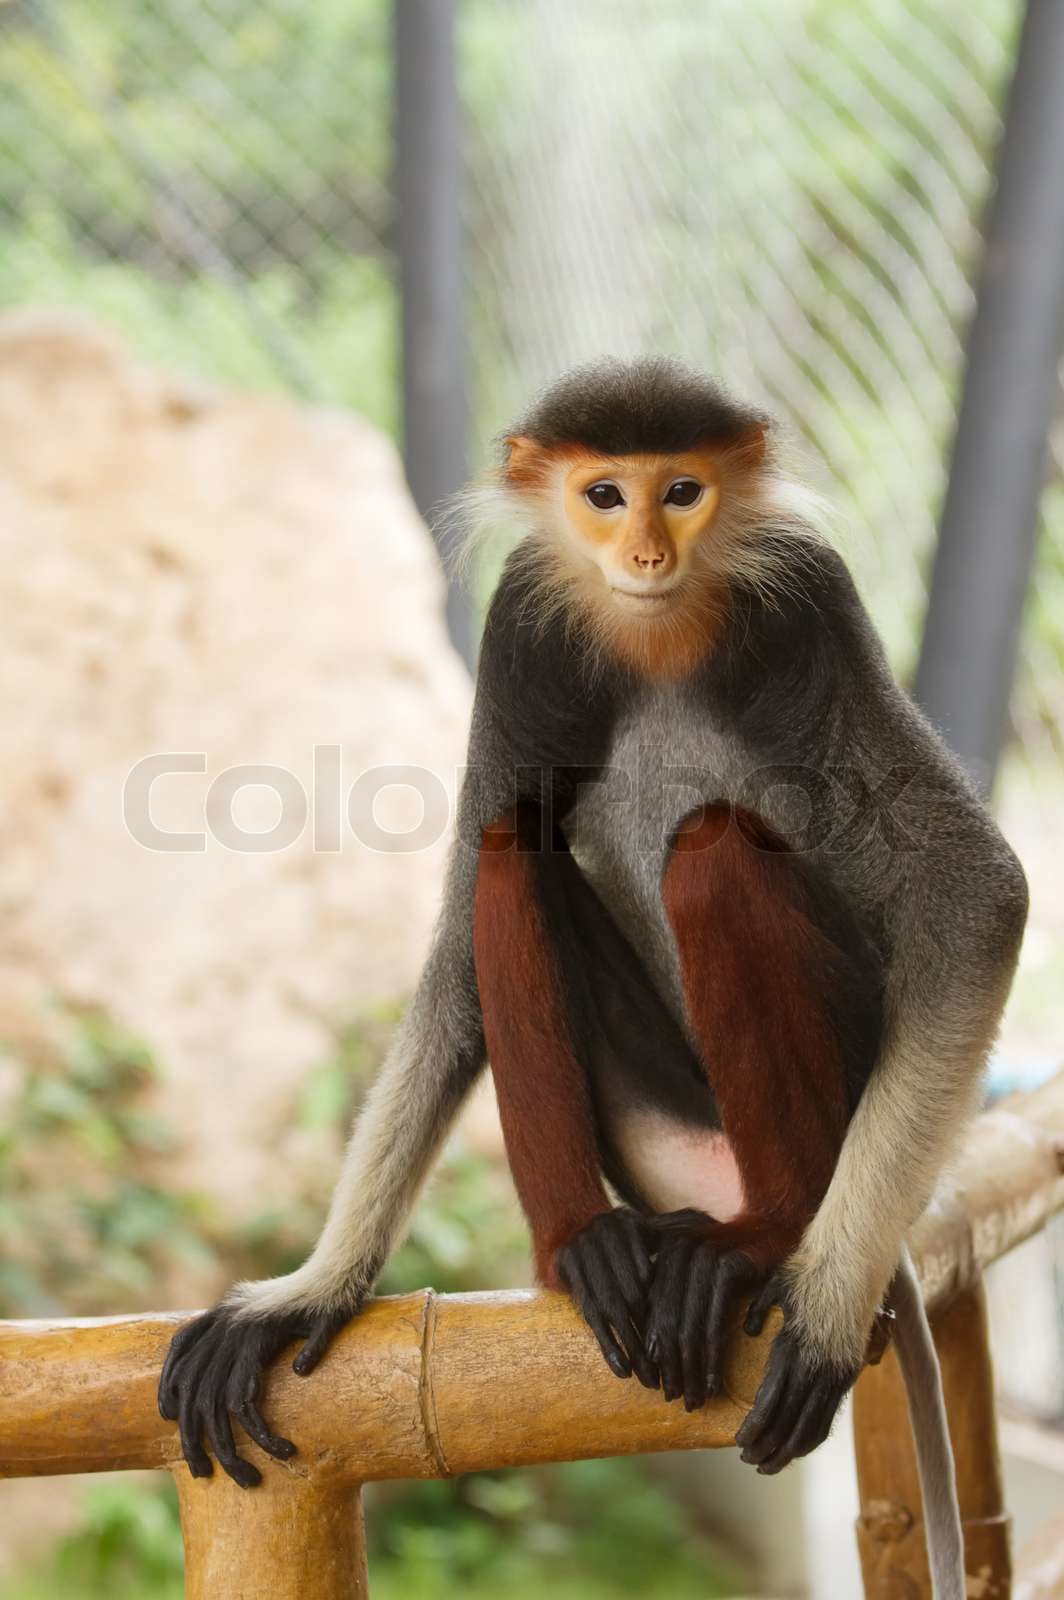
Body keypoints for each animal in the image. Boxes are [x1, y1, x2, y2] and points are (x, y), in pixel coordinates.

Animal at [159, 358, 1026, 1598]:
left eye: (682, 490)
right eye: (603, 496)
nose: (648, 553)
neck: (658, 636)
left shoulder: (809, 607)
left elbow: (975, 897)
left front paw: (820, 1307)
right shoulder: (522, 622)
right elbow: (454, 956)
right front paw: (311, 1286)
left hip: (831, 1103)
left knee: (710, 846)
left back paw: (766, 1238)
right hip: (648, 1130)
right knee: (509, 844)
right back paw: (586, 1248)